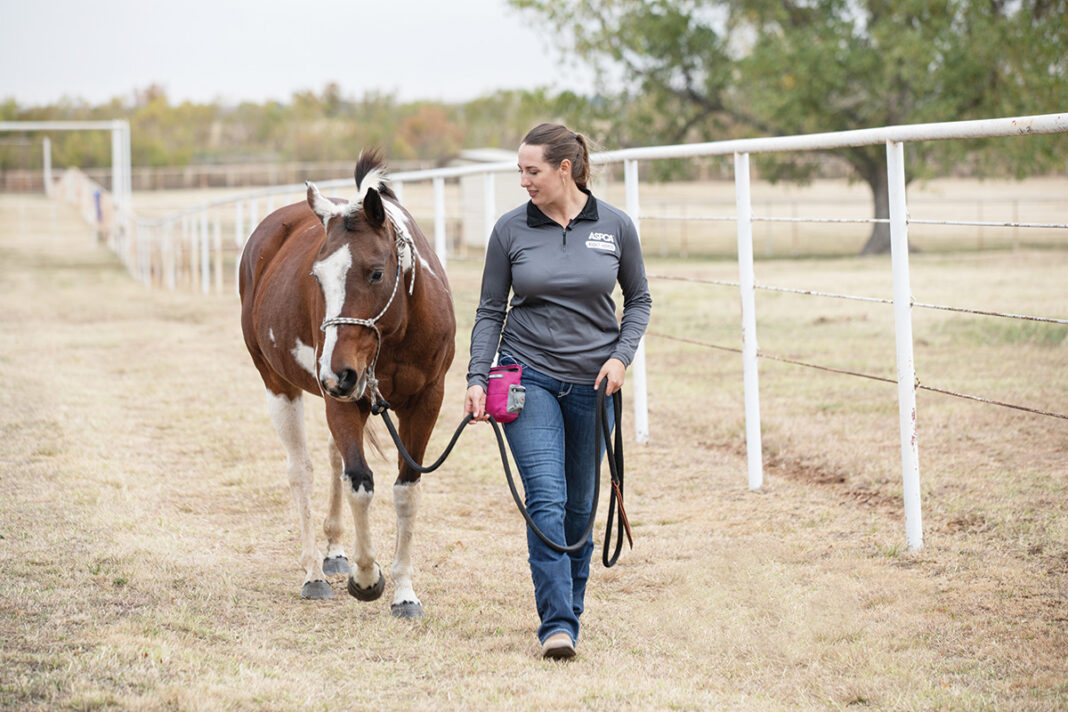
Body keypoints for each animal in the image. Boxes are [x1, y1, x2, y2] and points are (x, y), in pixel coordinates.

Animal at [238, 152, 455, 617]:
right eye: (316, 277)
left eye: (375, 273)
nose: (336, 372)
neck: (396, 335)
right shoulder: (340, 398)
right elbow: (360, 482)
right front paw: (367, 576)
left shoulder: (427, 401)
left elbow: (406, 491)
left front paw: (404, 592)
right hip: (280, 384)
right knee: (301, 470)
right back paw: (314, 573)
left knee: (332, 455)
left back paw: (335, 551)